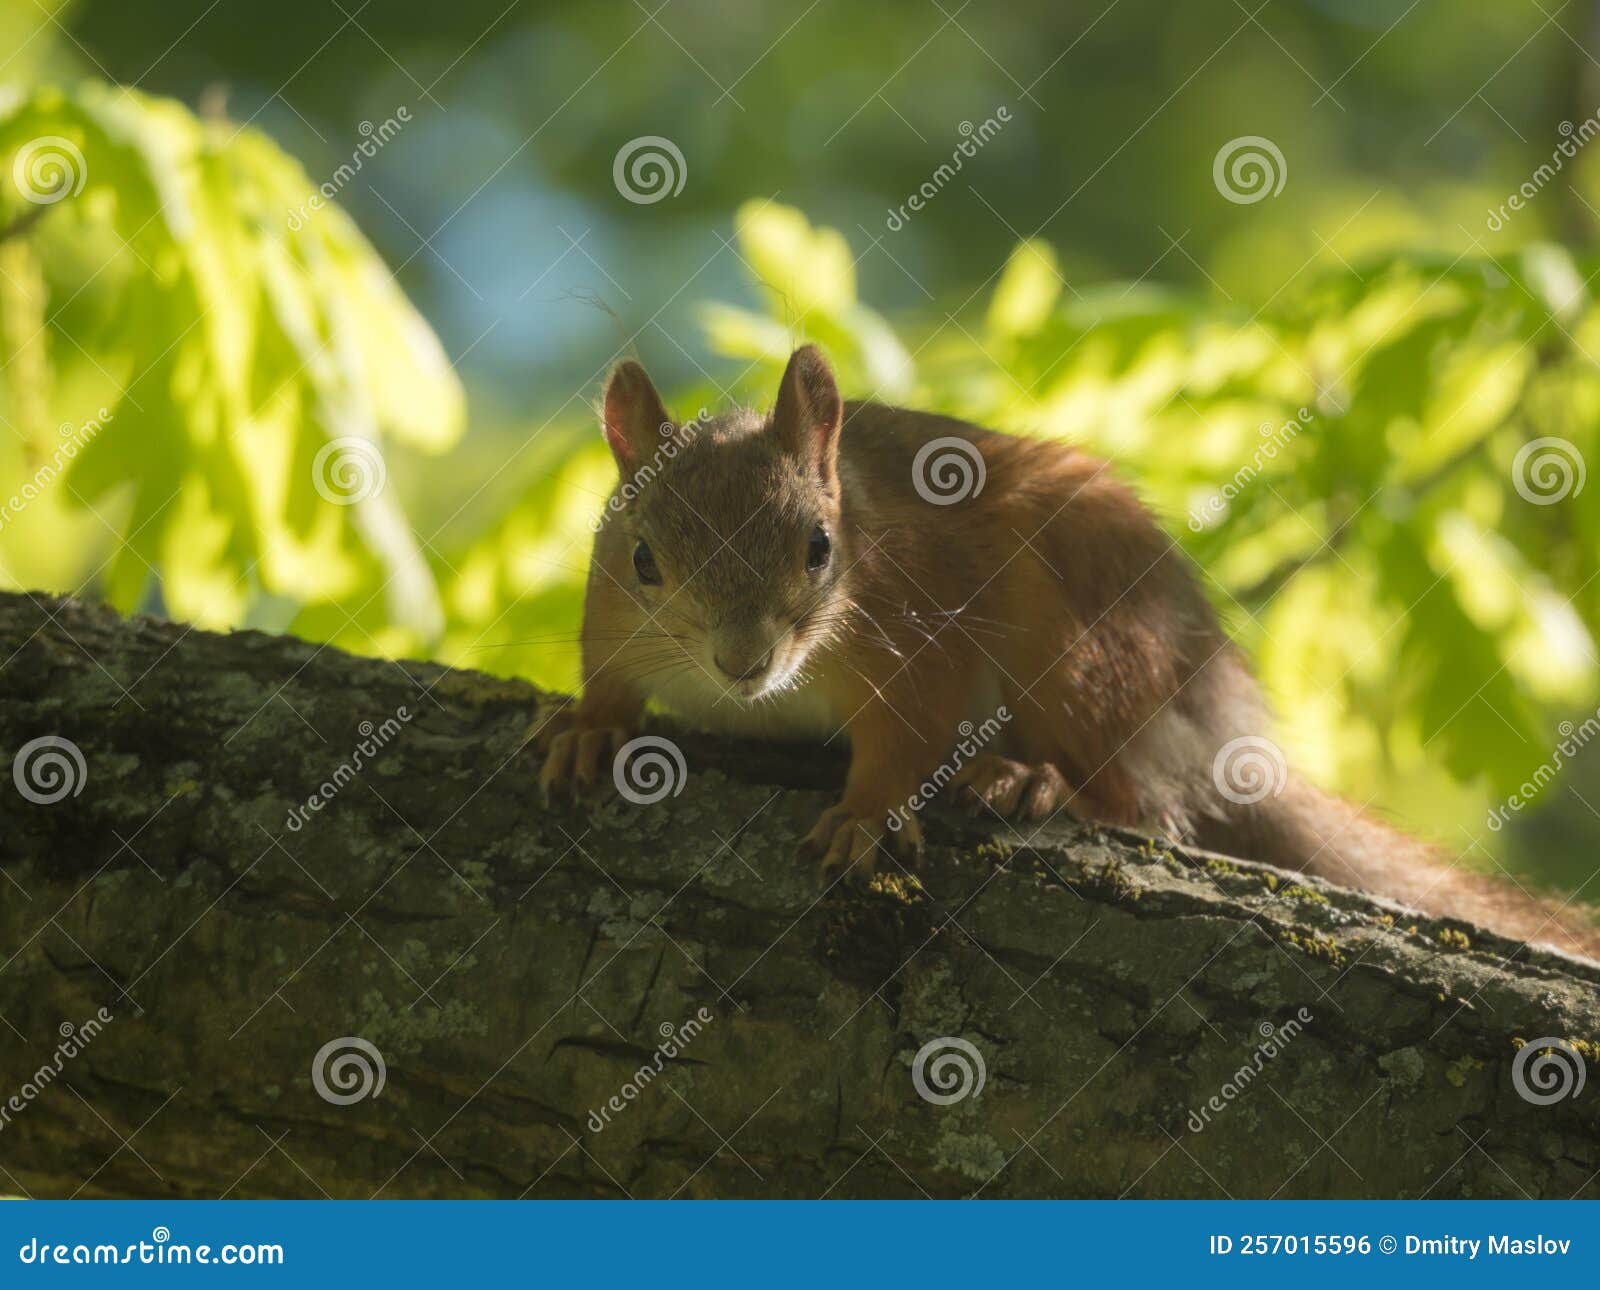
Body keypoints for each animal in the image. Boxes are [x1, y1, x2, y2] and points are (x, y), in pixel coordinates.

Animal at [540, 344, 1600, 962]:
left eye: (818, 547)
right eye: (642, 557)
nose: (743, 661)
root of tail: (1205, 715)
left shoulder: (914, 635)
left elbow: (905, 738)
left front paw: (866, 816)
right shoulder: (608, 614)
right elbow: (608, 680)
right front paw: (589, 728)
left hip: (1081, 640)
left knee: (1141, 802)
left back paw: (1031, 782)